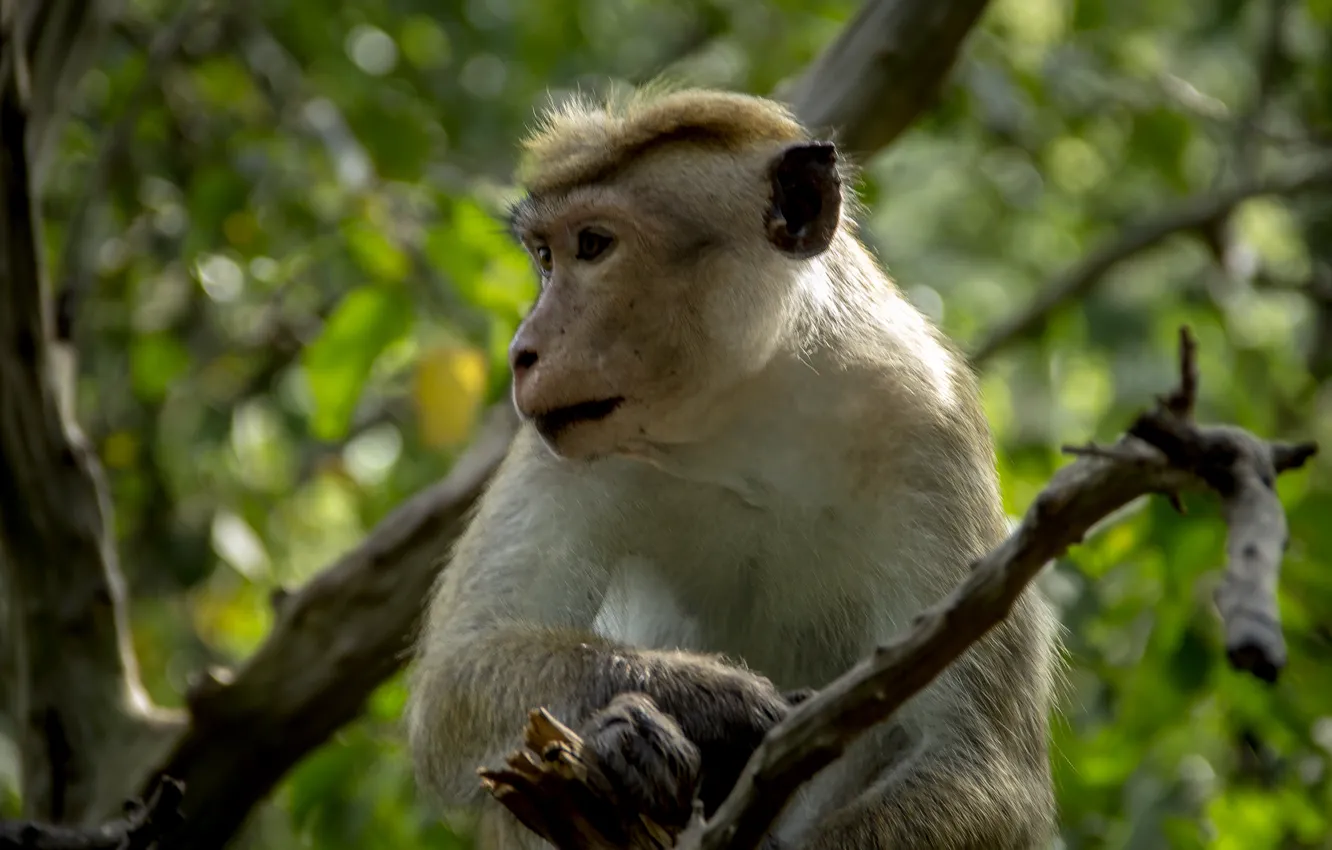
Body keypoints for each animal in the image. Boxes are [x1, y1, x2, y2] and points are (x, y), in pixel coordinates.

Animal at [405, 86, 1061, 850]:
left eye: (593, 246)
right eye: (544, 255)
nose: (523, 351)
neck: (751, 403)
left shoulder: (929, 427)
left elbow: (976, 764)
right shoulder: (566, 446)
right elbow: (459, 675)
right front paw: (714, 703)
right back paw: (634, 754)